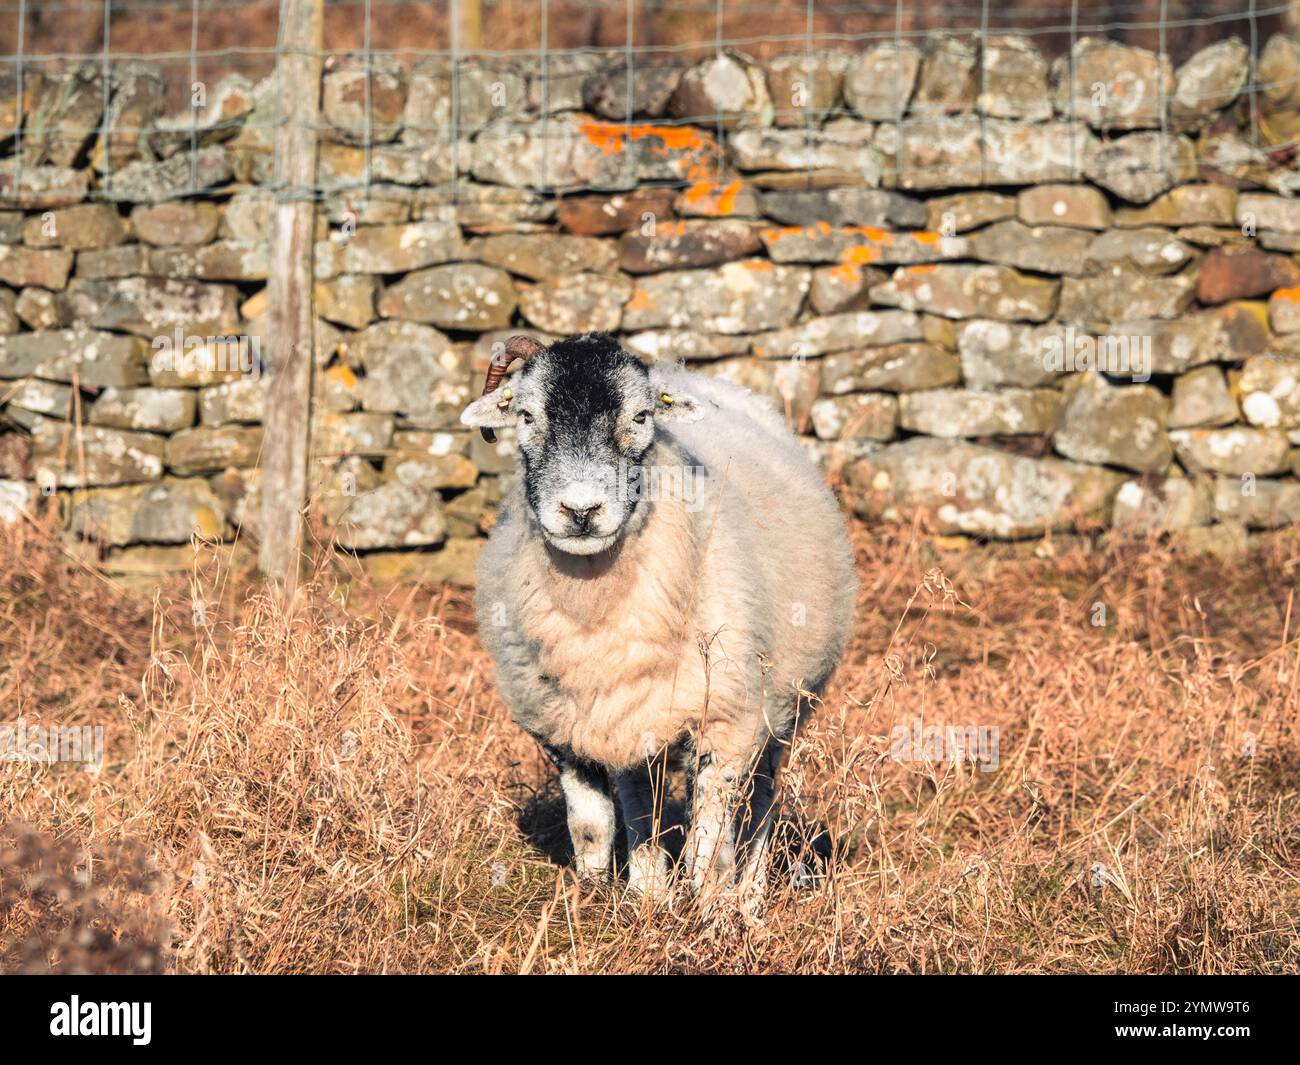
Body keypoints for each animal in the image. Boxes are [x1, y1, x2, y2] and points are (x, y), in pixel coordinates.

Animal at [461, 332, 856, 907]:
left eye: (642, 415)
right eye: (527, 415)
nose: (581, 512)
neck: (595, 614)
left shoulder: (730, 720)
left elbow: (710, 845)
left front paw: (710, 912)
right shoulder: (564, 729)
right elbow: (592, 828)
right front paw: (596, 900)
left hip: (783, 706)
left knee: (760, 802)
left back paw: (750, 895)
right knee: (640, 799)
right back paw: (649, 891)